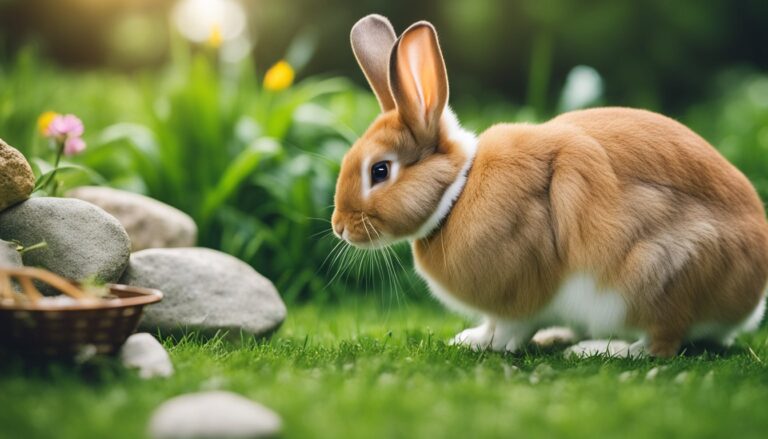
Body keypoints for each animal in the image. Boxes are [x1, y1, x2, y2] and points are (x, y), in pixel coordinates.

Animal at [331, 14, 768, 357]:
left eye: (380, 171)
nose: (339, 227)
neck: (457, 190)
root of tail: (750, 299)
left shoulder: (522, 292)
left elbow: (511, 326)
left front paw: (492, 345)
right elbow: (491, 324)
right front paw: (470, 338)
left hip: (654, 277)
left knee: (662, 344)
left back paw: (597, 349)